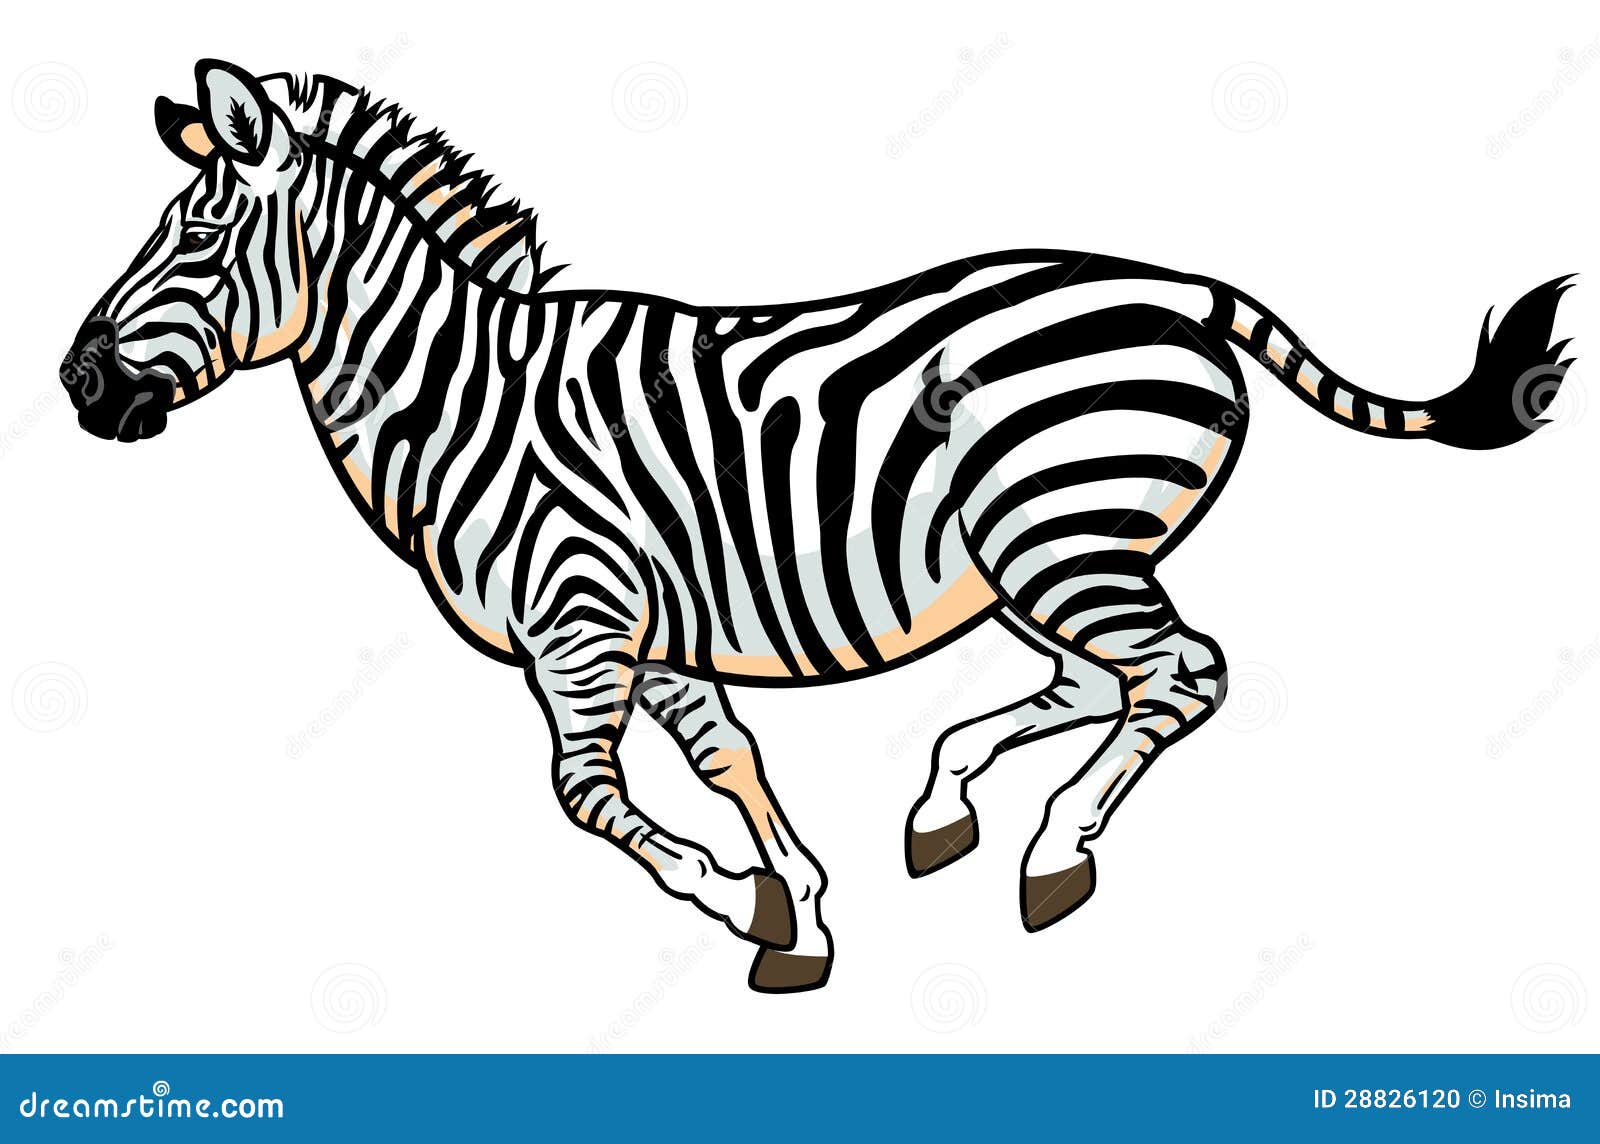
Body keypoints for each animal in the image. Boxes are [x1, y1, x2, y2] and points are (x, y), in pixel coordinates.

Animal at [62, 60, 1574, 993]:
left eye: (194, 241)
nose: (74, 387)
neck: (464, 398)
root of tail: (1174, 288)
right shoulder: (651, 632)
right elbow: (728, 755)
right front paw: (796, 911)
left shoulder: (580, 617)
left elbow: (588, 797)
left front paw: (742, 902)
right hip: (1051, 548)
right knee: (1106, 678)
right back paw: (948, 804)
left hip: (1061, 531)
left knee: (1179, 674)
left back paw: (1053, 851)